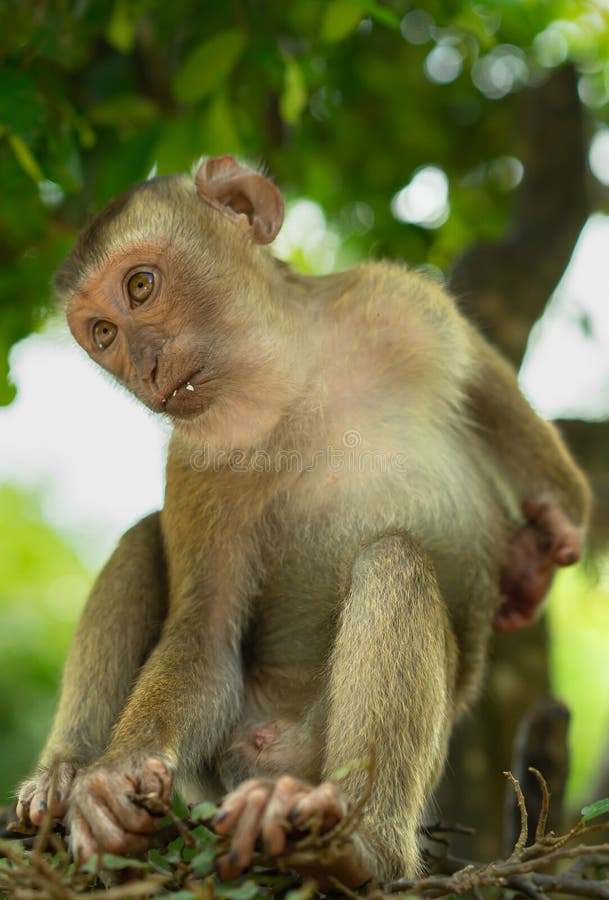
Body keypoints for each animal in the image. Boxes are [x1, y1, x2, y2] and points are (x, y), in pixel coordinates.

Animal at [15, 155, 590, 886]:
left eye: (140, 287)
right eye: (104, 335)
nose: (144, 368)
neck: (294, 380)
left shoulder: (400, 302)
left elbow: (506, 415)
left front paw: (547, 542)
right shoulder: (199, 464)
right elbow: (206, 635)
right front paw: (115, 775)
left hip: (326, 754)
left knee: (393, 558)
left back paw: (355, 842)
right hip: (217, 771)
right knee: (147, 538)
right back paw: (65, 781)